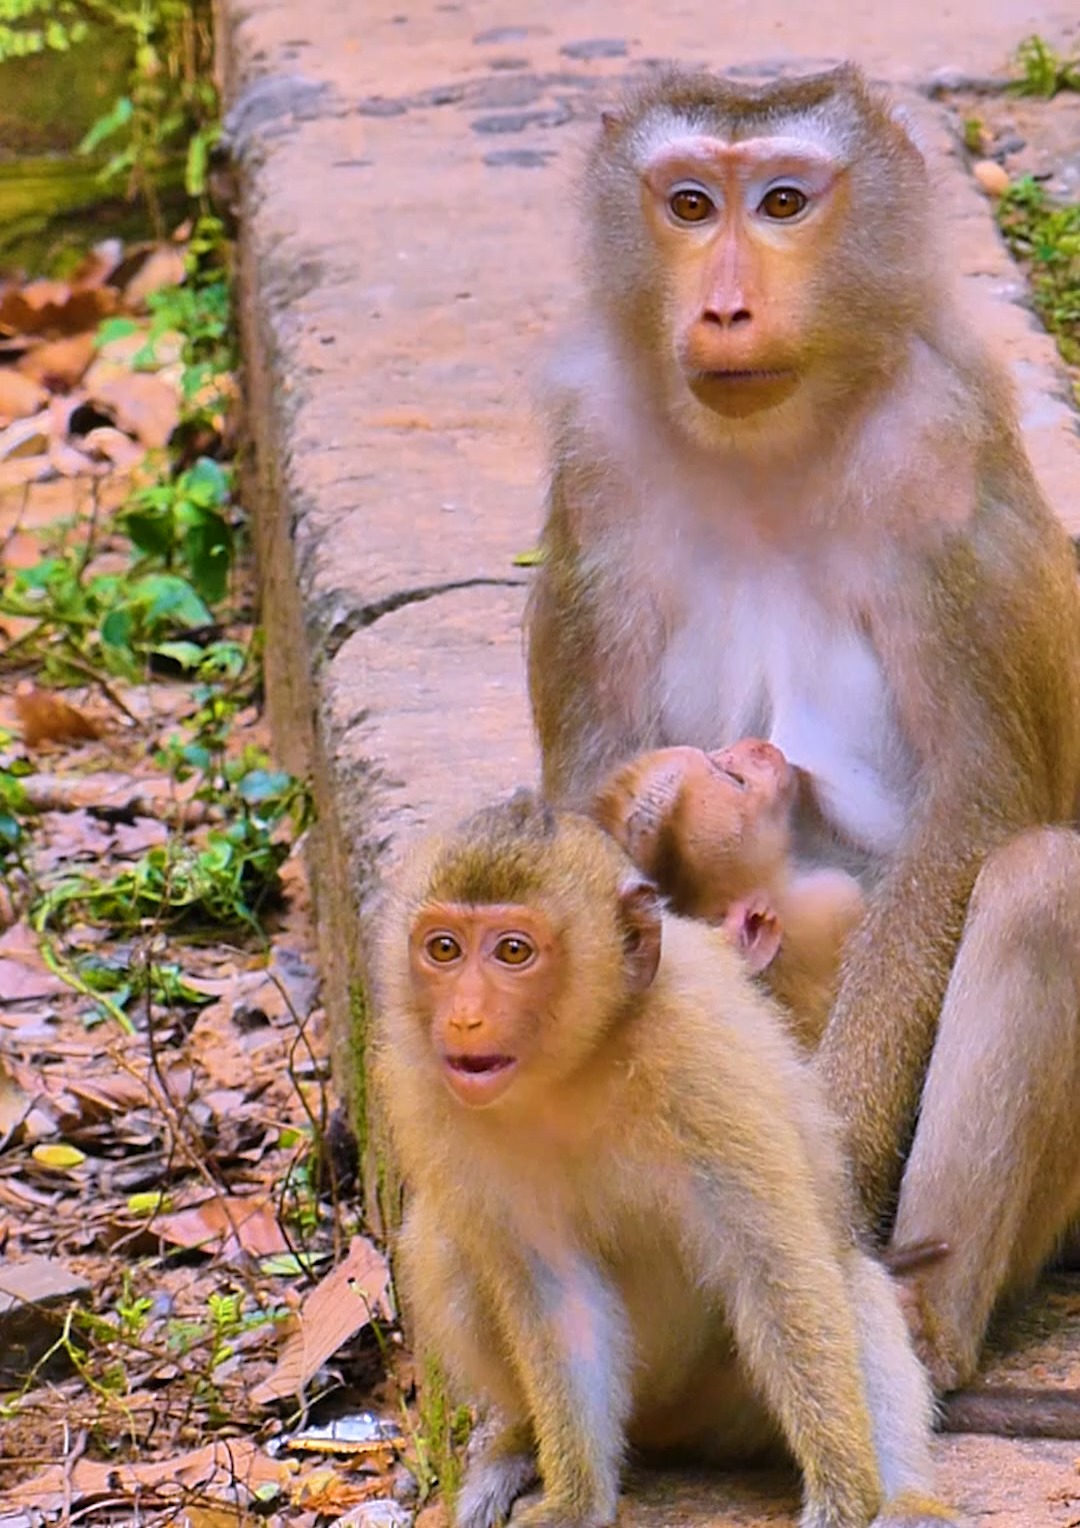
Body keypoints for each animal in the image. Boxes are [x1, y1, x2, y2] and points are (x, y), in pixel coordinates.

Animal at [374, 791, 962, 1528]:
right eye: (444, 949)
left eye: (513, 951)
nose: (464, 1018)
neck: (575, 1069)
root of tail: (666, 1429)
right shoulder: (421, 1089)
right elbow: (554, 1290)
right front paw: (574, 1502)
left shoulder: (697, 1053)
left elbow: (775, 1269)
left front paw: (844, 1499)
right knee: (444, 1243)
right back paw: (520, 1441)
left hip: (727, 1401)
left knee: (846, 1281)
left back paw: (909, 1498)